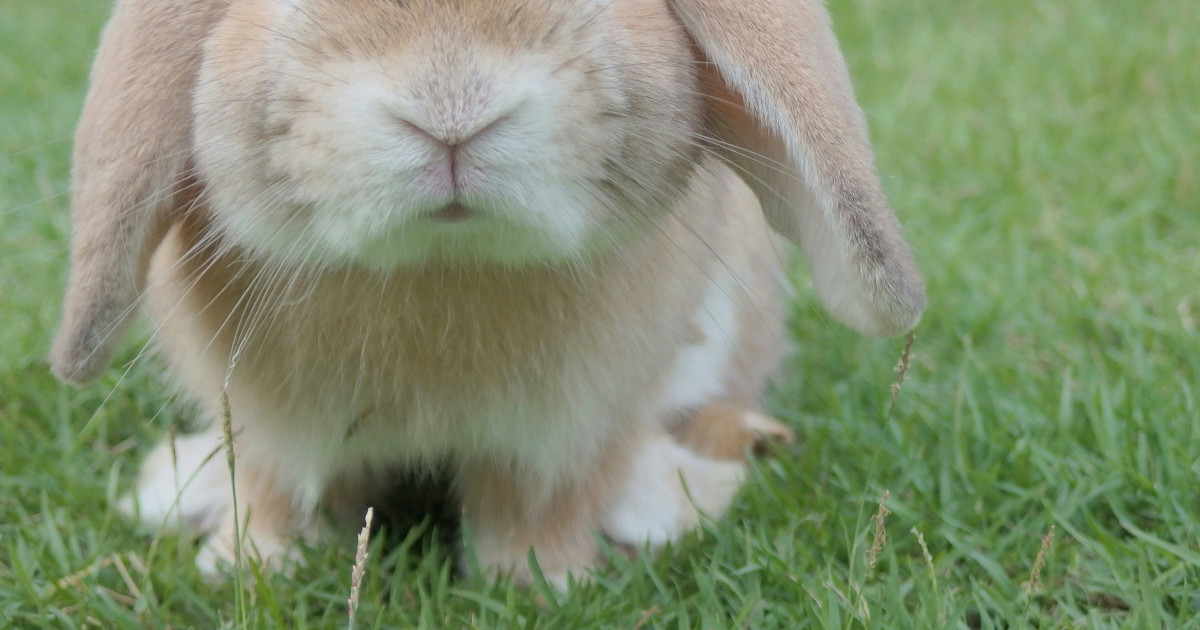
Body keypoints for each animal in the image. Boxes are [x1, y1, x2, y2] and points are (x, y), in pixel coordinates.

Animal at [50, 0, 924, 587]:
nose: (450, 109)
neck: (441, 262)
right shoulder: (266, 428)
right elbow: (275, 494)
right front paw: (247, 567)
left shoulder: (565, 433)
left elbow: (535, 506)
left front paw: (542, 582)